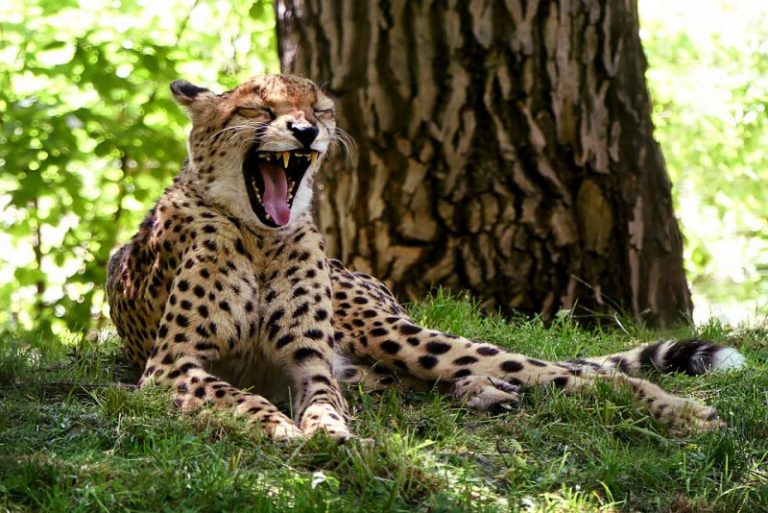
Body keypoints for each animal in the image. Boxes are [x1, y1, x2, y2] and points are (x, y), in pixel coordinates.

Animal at [107, 74, 745, 442]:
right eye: (258, 109)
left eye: (321, 108)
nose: (307, 131)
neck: (261, 237)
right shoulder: (172, 366)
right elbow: (238, 395)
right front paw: (284, 430)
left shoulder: (311, 364)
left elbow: (322, 406)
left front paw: (325, 431)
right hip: (372, 360)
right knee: (425, 381)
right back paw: (486, 394)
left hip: (390, 333)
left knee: (567, 372)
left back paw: (679, 411)